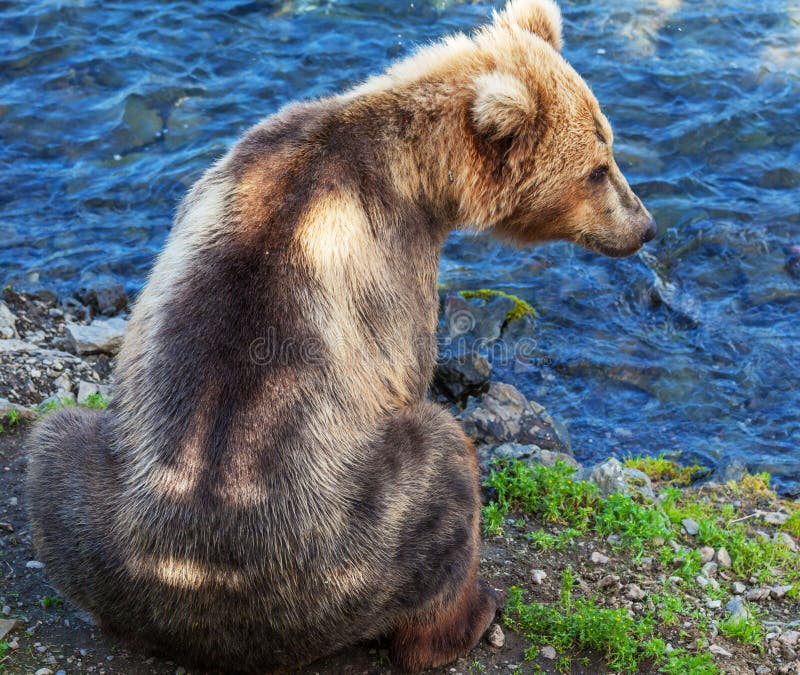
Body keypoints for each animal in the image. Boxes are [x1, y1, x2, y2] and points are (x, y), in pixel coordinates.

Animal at [26, 0, 656, 672]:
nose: (645, 226)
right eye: (596, 169)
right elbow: (411, 360)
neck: (421, 168)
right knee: (445, 476)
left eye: (609, 146)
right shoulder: (395, 255)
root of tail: (199, 593)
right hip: (359, 534)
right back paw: (475, 609)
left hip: (94, 495)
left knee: (53, 444)